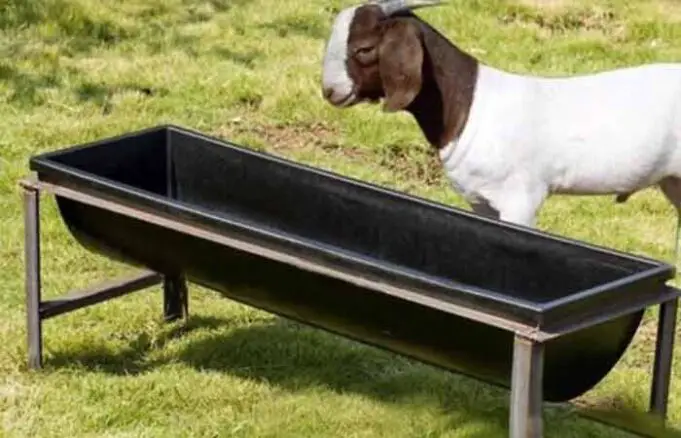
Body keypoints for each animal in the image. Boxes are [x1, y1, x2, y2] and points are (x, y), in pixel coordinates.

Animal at [321, 0, 681, 259]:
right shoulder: (482, 202)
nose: (330, 91)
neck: (470, 104)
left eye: (364, 48)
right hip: (673, 182)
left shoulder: (521, 199)